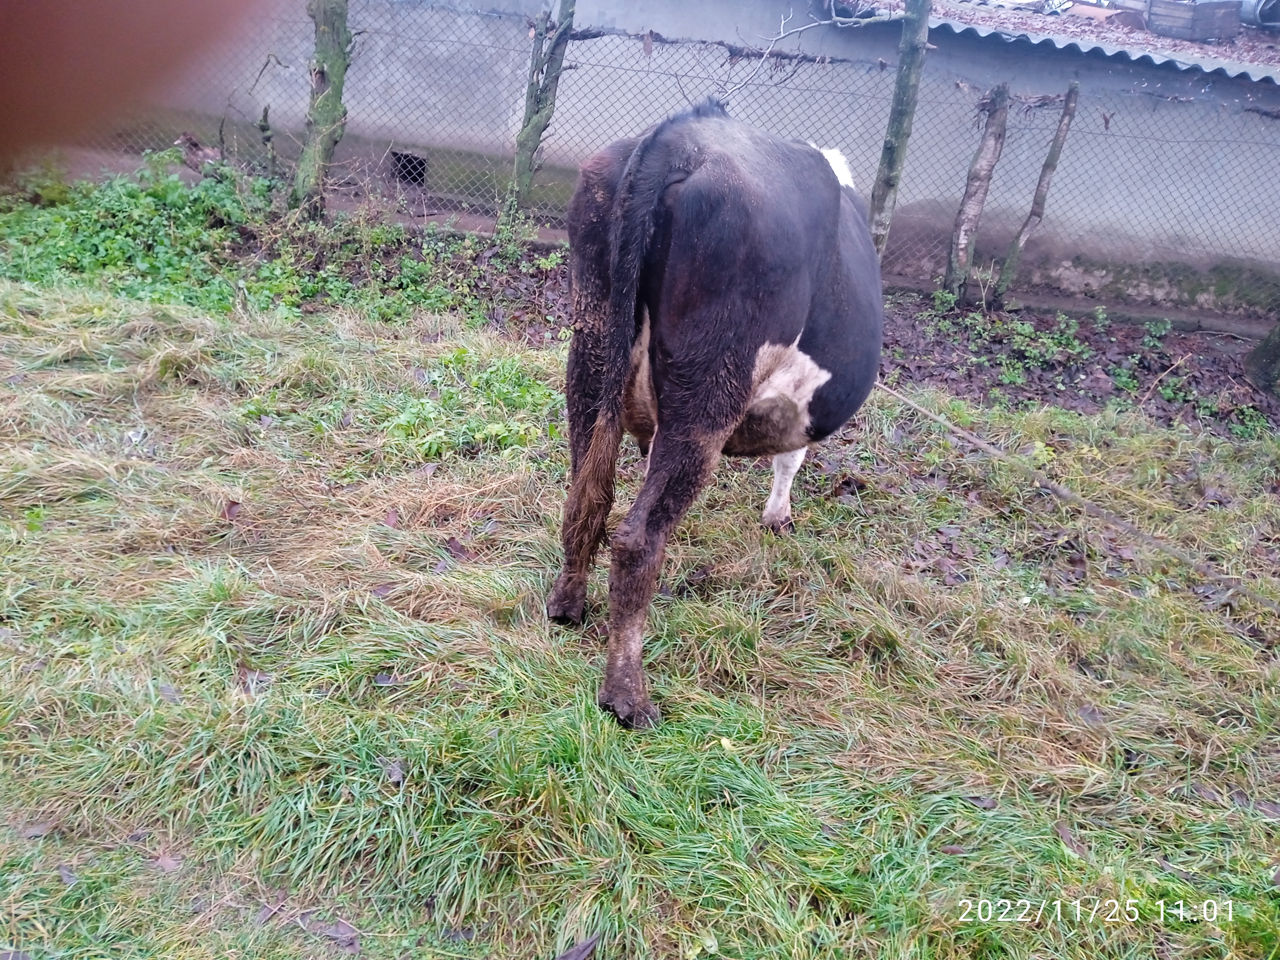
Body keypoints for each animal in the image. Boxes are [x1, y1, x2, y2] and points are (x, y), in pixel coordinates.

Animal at [547, 99, 883, 728]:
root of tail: (683, 136)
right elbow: (791, 458)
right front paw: (779, 517)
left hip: (591, 346)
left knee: (587, 495)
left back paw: (567, 605)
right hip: (711, 385)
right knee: (637, 539)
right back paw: (628, 695)